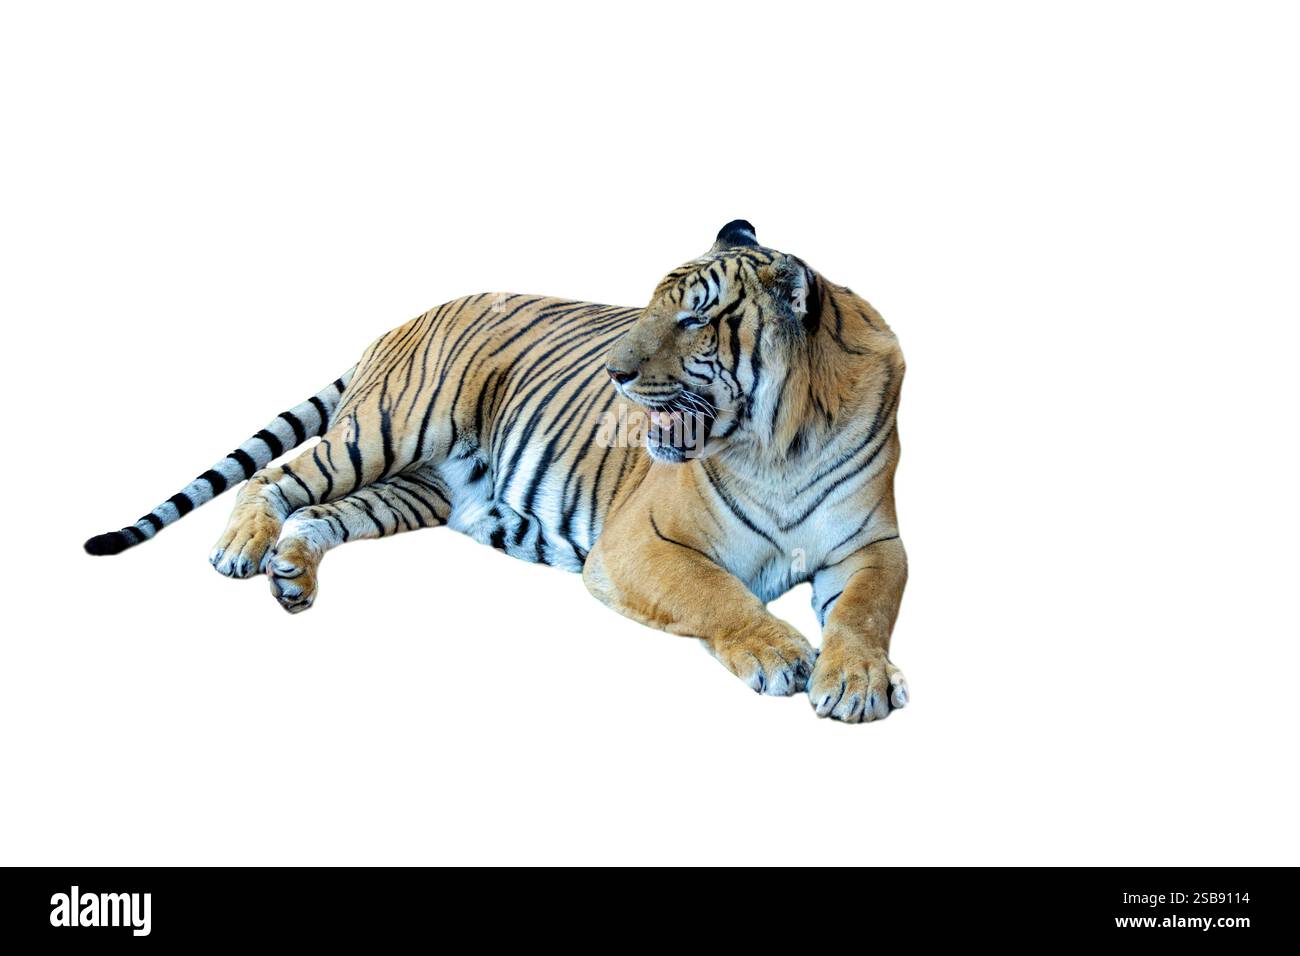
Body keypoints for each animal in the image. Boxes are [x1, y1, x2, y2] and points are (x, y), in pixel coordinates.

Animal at [85, 221, 908, 723]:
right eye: (649, 306)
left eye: (696, 319)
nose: (614, 374)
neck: (783, 441)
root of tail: (405, 318)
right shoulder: (638, 543)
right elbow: (715, 593)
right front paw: (780, 654)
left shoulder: (875, 545)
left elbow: (865, 612)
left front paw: (857, 680)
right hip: (385, 430)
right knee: (275, 479)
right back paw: (241, 550)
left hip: (415, 489)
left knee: (319, 513)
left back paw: (291, 576)